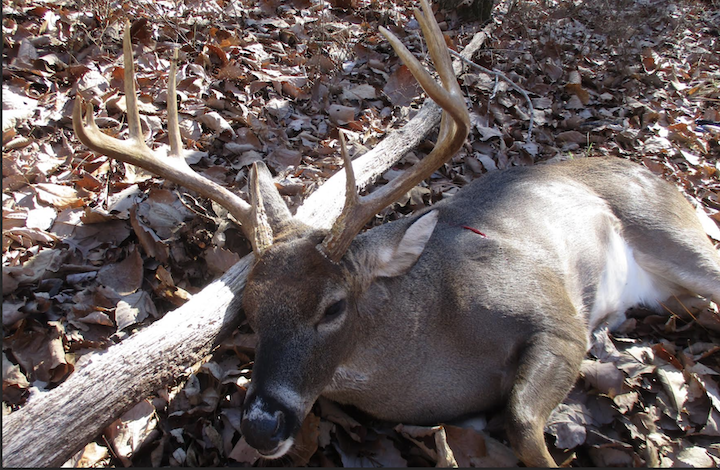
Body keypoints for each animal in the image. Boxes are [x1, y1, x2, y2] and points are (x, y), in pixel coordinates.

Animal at [72, 0, 720, 466]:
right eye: (248, 313)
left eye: (333, 307)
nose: (259, 427)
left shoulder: (558, 317)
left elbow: (524, 426)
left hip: (673, 233)